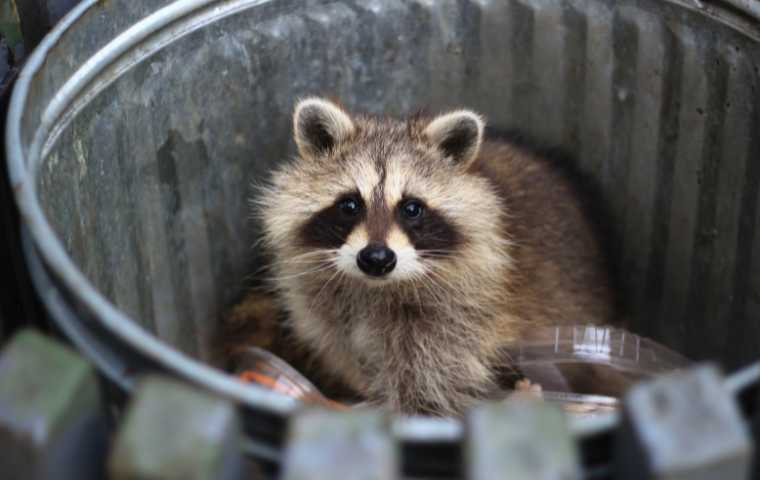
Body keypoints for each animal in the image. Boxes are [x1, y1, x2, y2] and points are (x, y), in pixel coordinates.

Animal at [234, 97, 615, 416]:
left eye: (412, 208)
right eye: (349, 205)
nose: (376, 258)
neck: (375, 289)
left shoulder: (459, 319)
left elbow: (430, 387)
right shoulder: (323, 307)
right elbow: (342, 349)